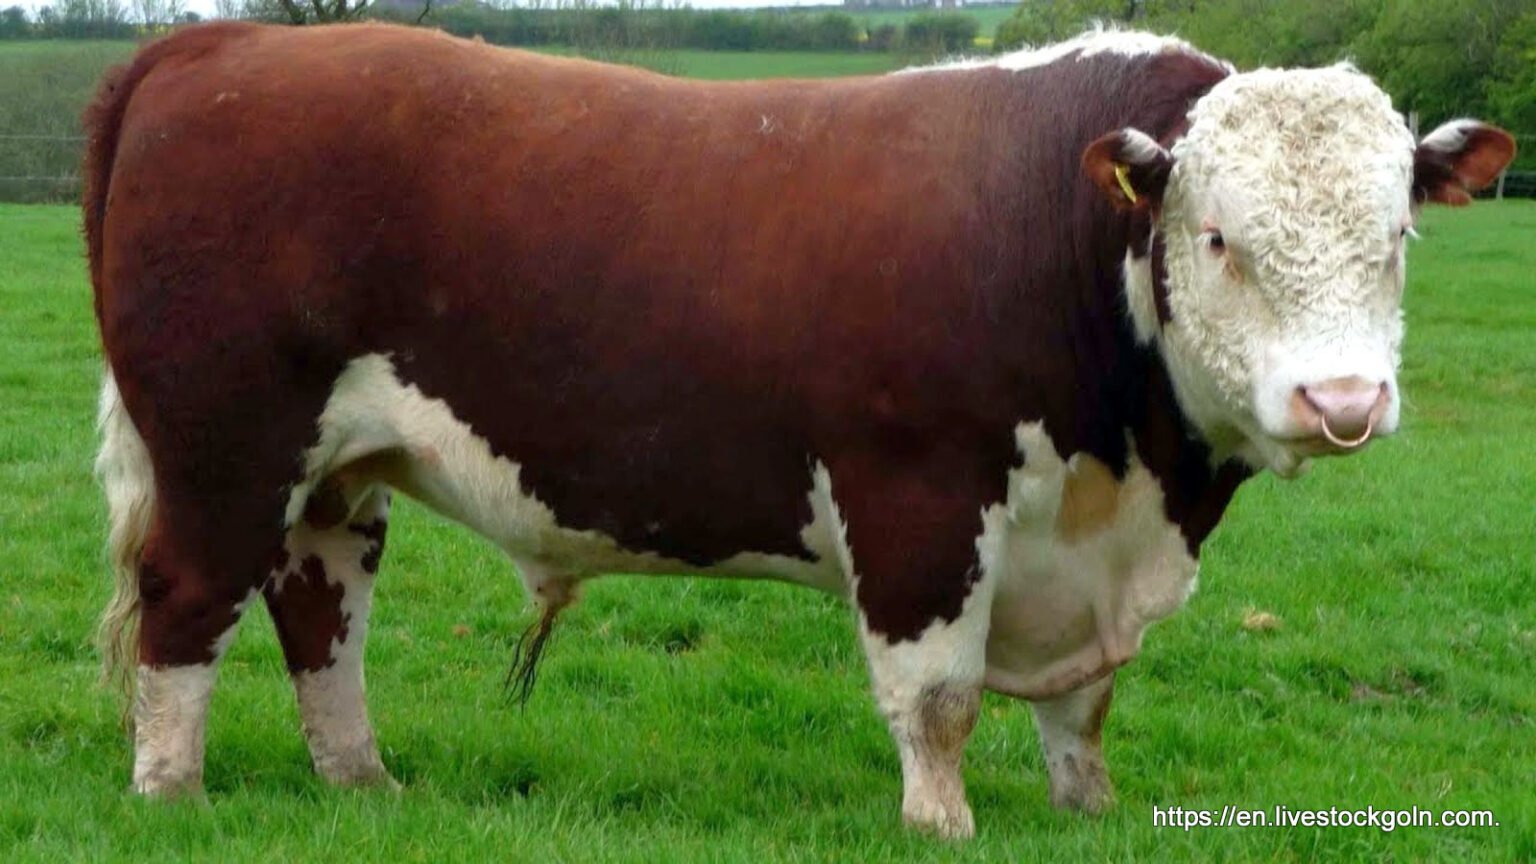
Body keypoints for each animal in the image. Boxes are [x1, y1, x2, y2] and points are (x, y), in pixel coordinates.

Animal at [85, 21, 1513, 837]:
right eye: (1217, 238)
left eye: (1398, 233)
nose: (1342, 404)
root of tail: (219, 44)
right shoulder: (918, 497)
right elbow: (938, 699)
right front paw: (941, 826)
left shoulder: (1093, 552)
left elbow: (1086, 705)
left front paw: (1088, 809)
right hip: (226, 441)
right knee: (189, 601)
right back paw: (171, 794)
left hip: (334, 471)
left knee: (319, 606)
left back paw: (362, 783)